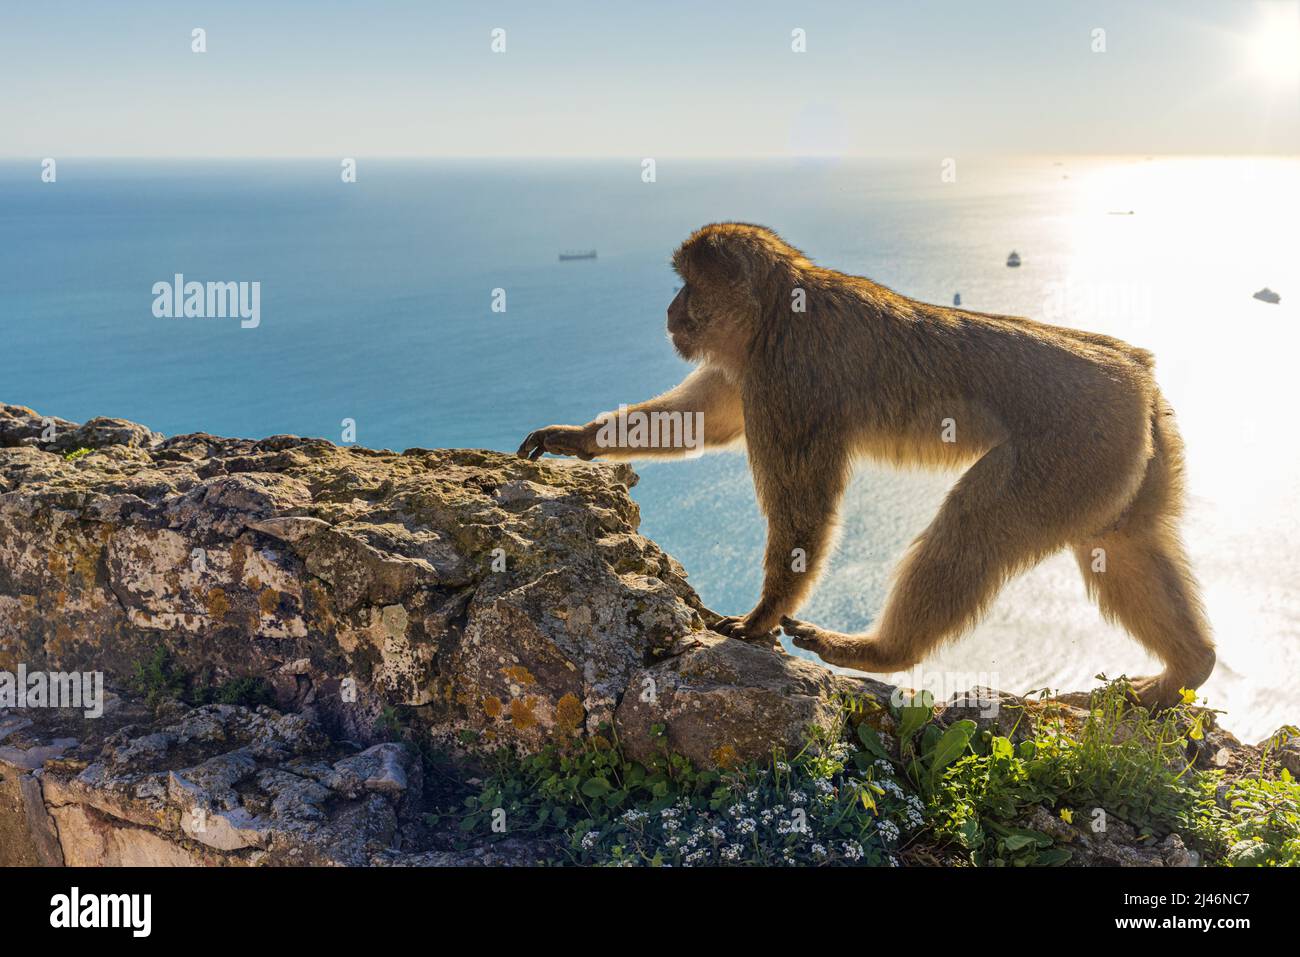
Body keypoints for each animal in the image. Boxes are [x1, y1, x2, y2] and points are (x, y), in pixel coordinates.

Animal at [518, 223, 1215, 709]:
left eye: (688, 284)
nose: (670, 310)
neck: (779, 305)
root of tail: (1138, 375)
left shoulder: (788, 375)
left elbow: (802, 505)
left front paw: (762, 614)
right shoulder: (755, 365)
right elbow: (704, 417)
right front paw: (577, 438)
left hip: (1071, 452)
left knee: (977, 523)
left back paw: (881, 652)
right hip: (1130, 459)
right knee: (1123, 542)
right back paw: (1190, 668)